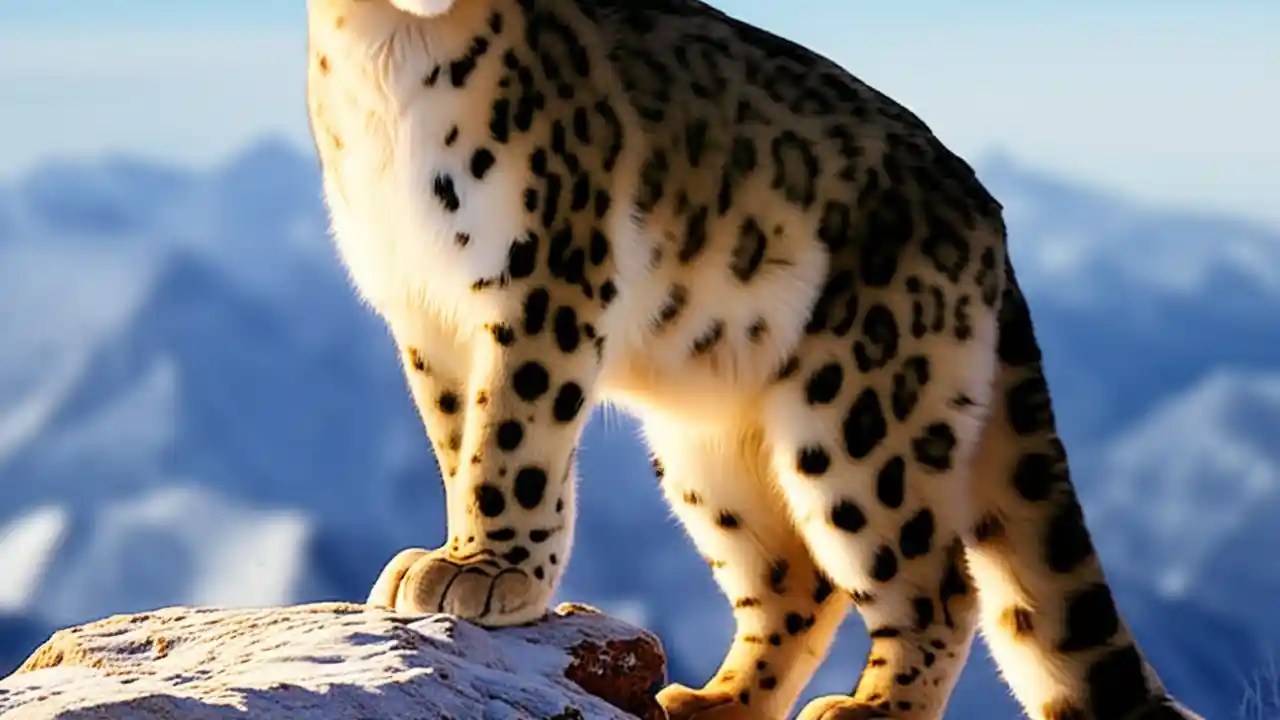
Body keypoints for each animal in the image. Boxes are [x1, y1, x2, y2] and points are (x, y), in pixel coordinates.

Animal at [305, 1, 1202, 718]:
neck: (386, 58)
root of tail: (987, 214)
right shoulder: (424, 308)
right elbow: (462, 438)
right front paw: (472, 557)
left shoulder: (544, 269)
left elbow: (513, 436)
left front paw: (485, 569)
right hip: (707, 444)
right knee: (793, 579)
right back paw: (717, 702)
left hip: (860, 413)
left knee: (938, 579)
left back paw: (869, 710)